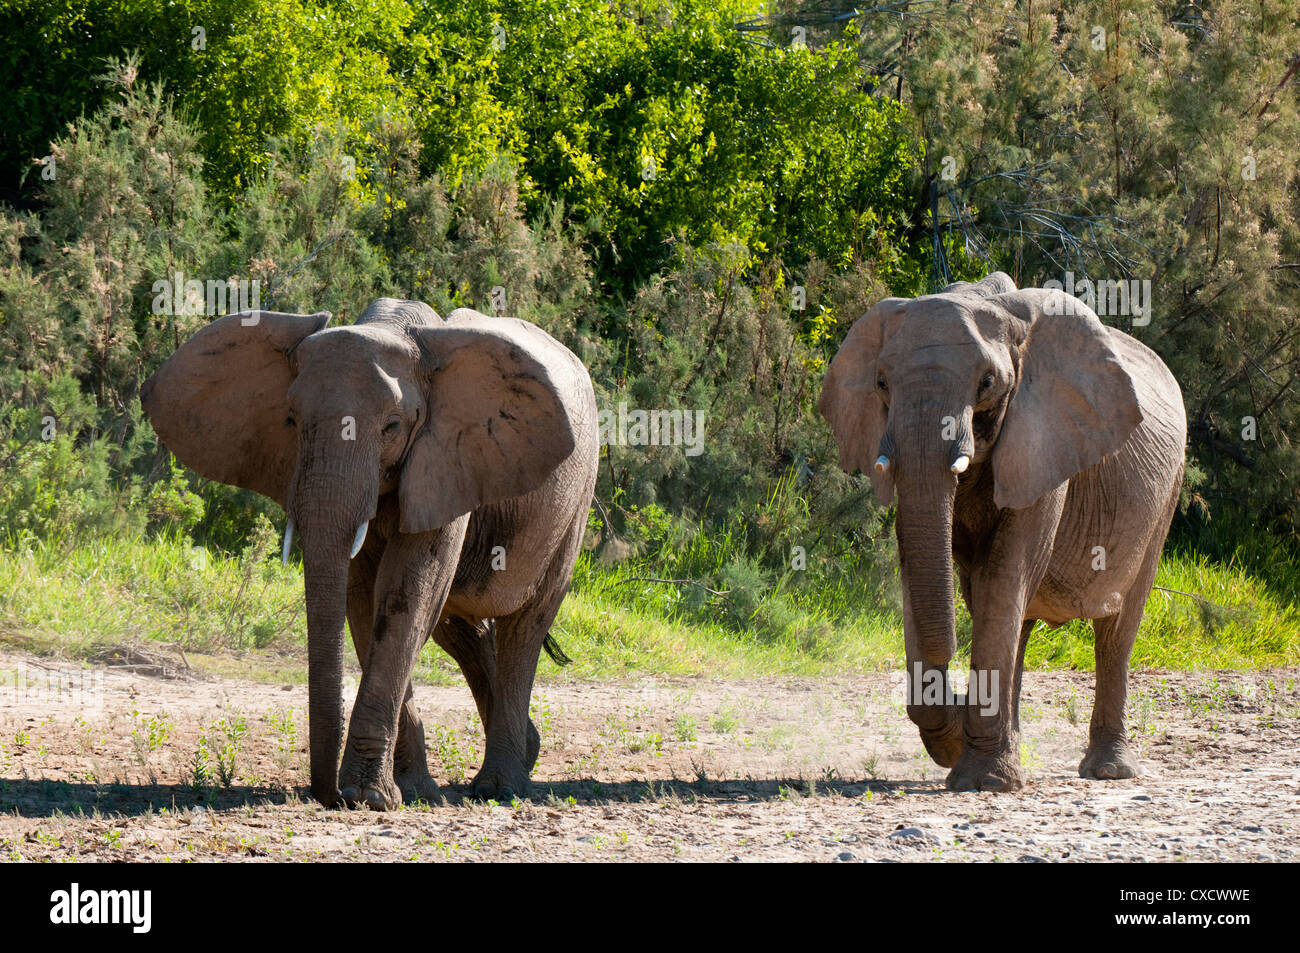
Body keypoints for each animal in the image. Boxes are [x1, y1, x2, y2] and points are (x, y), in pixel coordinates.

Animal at [142, 298, 599, 809]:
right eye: (291, 422)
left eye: (392, 427)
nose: (327, 795)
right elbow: (365, 600)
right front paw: (408, 792)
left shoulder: (444, 455)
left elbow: (408, 592)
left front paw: (370, 797)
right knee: (457, 628)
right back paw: (526, 753)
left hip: (577, 498)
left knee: (526, 623)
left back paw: (501, 788)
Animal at [819, 272, 1186, 791]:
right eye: (881, 382)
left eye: (987, 383)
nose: (954, 697)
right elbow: (938, 575)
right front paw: (970, 752)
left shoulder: (1042, 439)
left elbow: (1004, 574)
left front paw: (981, 779)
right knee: (1020, 622)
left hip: (1166, 495)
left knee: (1116, 629)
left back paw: (1107, 772)